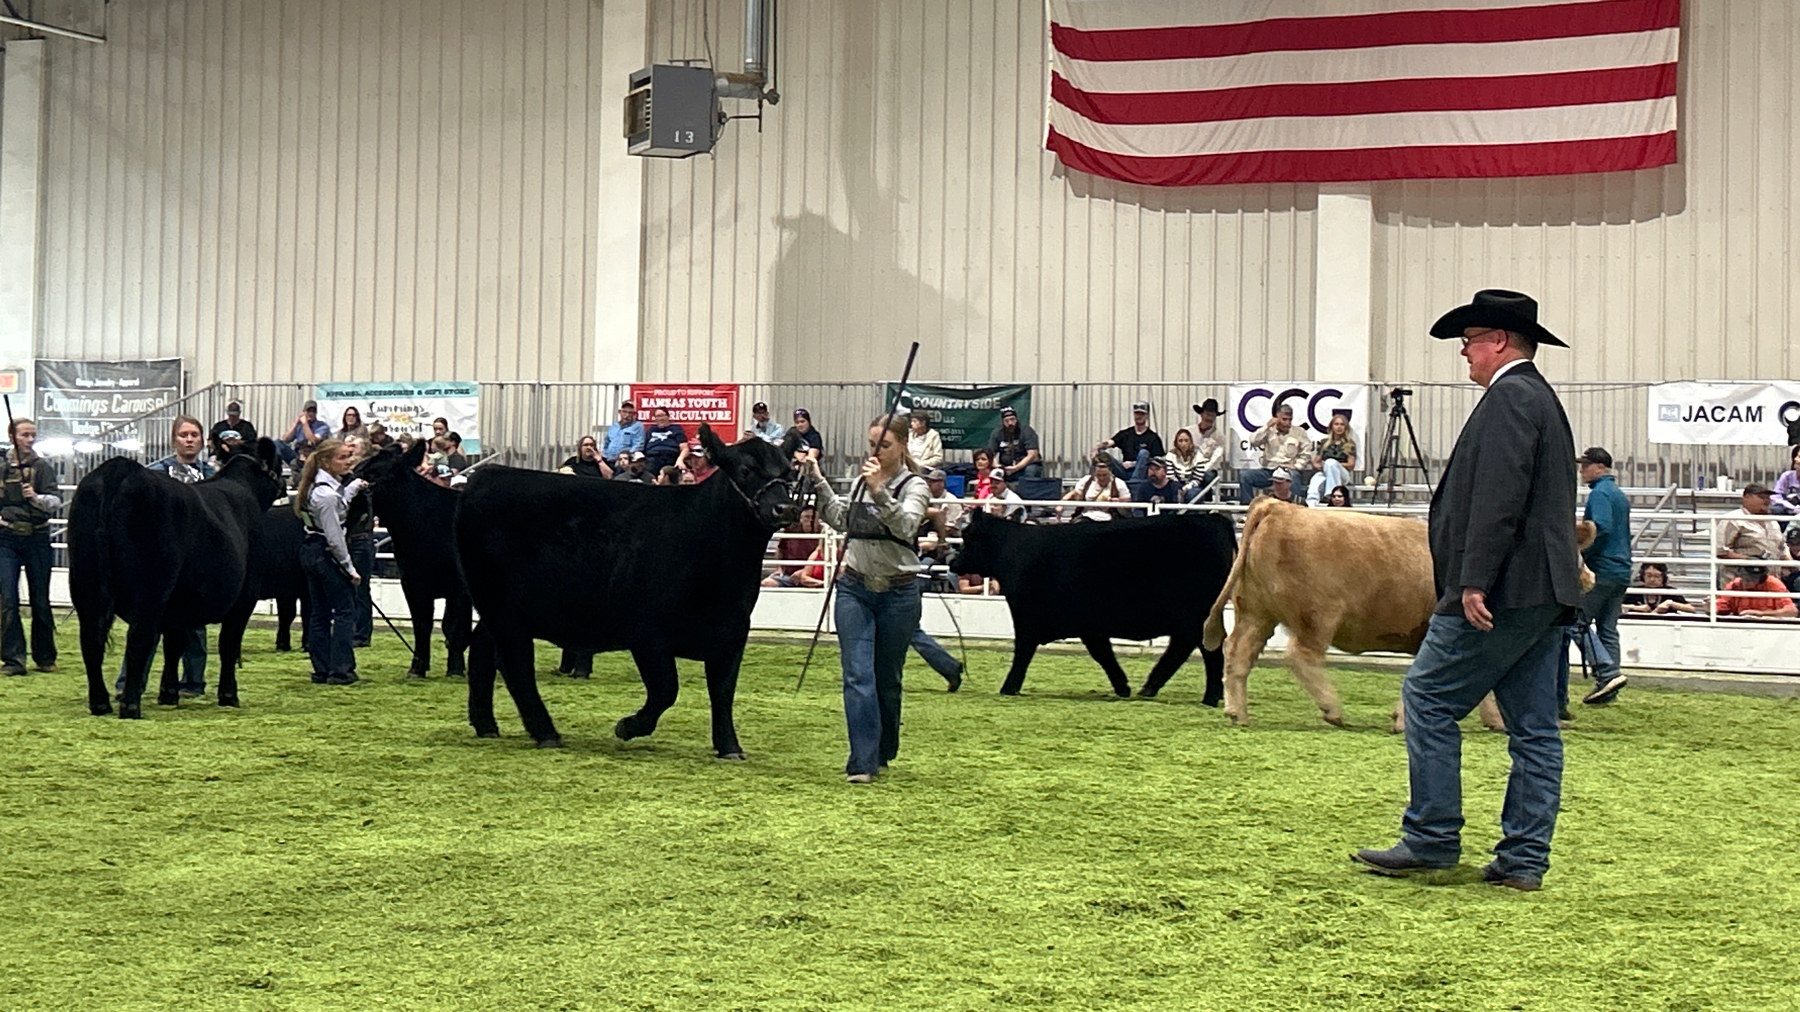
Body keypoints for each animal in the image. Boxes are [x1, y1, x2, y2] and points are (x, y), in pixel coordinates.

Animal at [68, 439, 283, 718]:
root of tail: (120, 469)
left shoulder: (179, 603)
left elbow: (174, 644)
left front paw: (168, 693)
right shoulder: (245, 596)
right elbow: (228, 643)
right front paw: (228, 695)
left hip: (85, 584)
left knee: (91, 639)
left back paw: (100, 703)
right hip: (149, 588)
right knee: (138, 639)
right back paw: (130, 706)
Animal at [352, 441, 472, 677]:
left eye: (373, 473)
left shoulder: (459, 588)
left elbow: (453, 627)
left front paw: (455, 669)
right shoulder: (412, 583)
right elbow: (422, 625)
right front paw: (417, 667)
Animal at [454, 424, 799, 755]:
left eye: (789, 474)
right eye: (745, 470)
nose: (784, 508)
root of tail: (485, 475)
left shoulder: (732, 635)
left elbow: (723, 693)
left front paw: (729, 747)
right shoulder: (647, 633)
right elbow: (666, 690)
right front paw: (628, 726)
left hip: (501, 609)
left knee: (483, 650)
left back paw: (486, 724)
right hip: (500, 605)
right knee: (515, 664)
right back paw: (546, 732)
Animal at [947, 510, 1236, 702]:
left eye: (969, 537)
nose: (952, 562)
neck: (1014, 550)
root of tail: (1214, 519)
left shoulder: (1030, 618)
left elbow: (1024, 652)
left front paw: (1009, 687)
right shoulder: (1089, 626)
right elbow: (1104, 654)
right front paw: (1122, 686)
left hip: (1196, 614)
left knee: (1203, 648)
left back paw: (1208, 696)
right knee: (1189, 646)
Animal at [1200, 498, 1595, 729]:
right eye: (1574, 554)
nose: (1591, 578)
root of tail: (1280, 507)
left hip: (1256, 613)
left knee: (1238, 655)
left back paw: (1237, 712)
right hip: (1317, 615)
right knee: (1301, 656)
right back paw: (1332, 708)